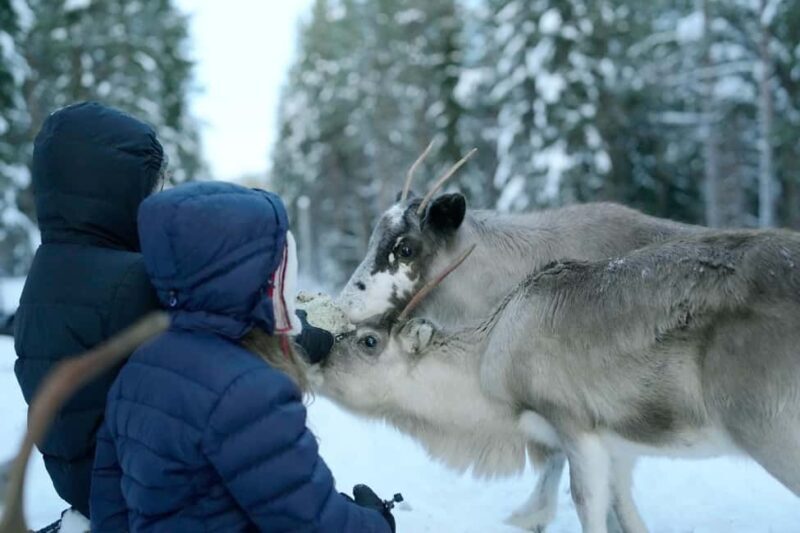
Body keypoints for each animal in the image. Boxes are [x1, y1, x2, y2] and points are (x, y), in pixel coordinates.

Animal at [319, 229, 800, 533]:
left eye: (368, 341)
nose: (317, 354)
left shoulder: (573, 423)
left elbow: (587, 506)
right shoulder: (619, 445)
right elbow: (626, 516)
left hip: (771, 430)